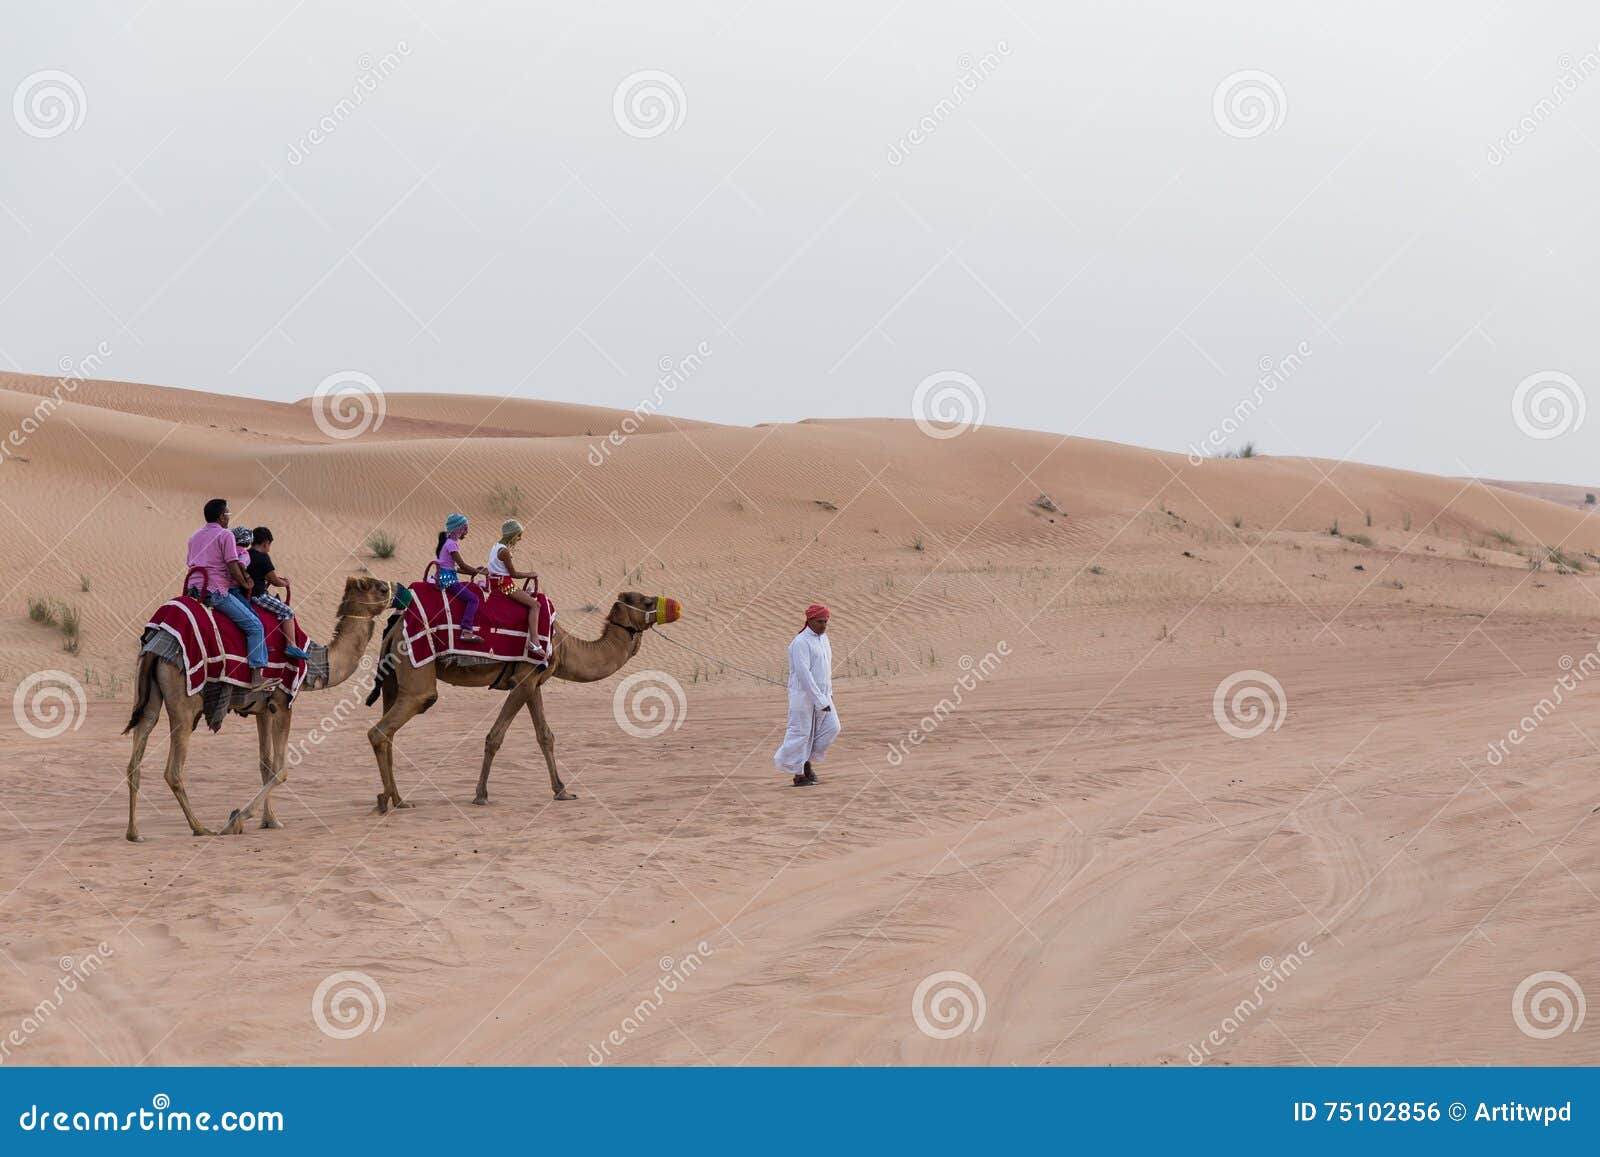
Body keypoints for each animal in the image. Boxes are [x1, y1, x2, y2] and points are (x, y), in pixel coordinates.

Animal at [121, 576, 395, 842]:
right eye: (381, 588)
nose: (398, 592)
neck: (315, 663)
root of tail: (158, 641)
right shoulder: (283, 702)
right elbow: (281, 769)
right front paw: (237, 819)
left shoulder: (263, 709)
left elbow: (266, 764)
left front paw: (271, 820)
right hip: (184, 703)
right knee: (173, 771)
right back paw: (200, 828)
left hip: (149, 694)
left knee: (136, 756)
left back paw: (134, 832)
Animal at [365, 590, 681, 810]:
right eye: (647, 601)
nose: (676, 607)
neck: (563, 646)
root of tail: (394, 628)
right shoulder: (524, 680)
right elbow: (495, 736)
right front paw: (481, 795)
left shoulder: (534, 682)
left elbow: (545, 736)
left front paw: (562, 790)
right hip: (417, 670)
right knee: (384, 728)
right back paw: (390, 800)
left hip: (392, 680)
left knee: (388, 732)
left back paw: (394, 798)